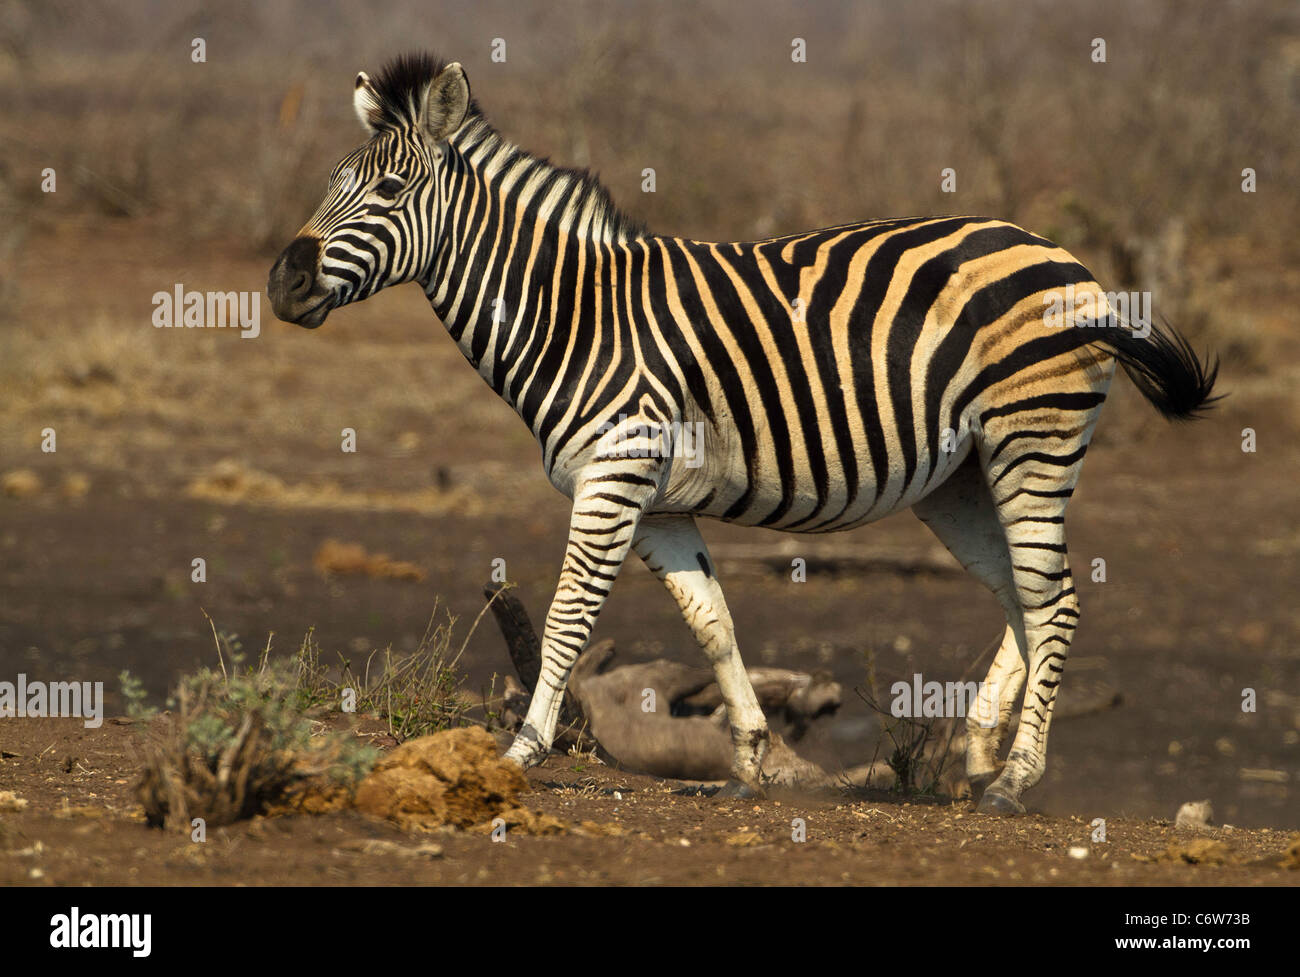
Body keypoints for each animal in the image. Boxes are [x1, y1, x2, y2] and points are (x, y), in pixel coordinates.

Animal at [268, 53, 1219, 814]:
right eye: (329, 182)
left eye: (389, 192)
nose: (282, 281)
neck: (572, 313)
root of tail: (1066, 258)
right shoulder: (657, 506)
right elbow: (713, 621)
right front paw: (753, 757)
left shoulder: (614, 479)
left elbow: (571, 613)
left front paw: (524, 748)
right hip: (960, 477)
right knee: (1026, 593)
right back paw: (984, 752)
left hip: (1034, 440)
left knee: (1056, 599)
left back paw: (1016, 781)